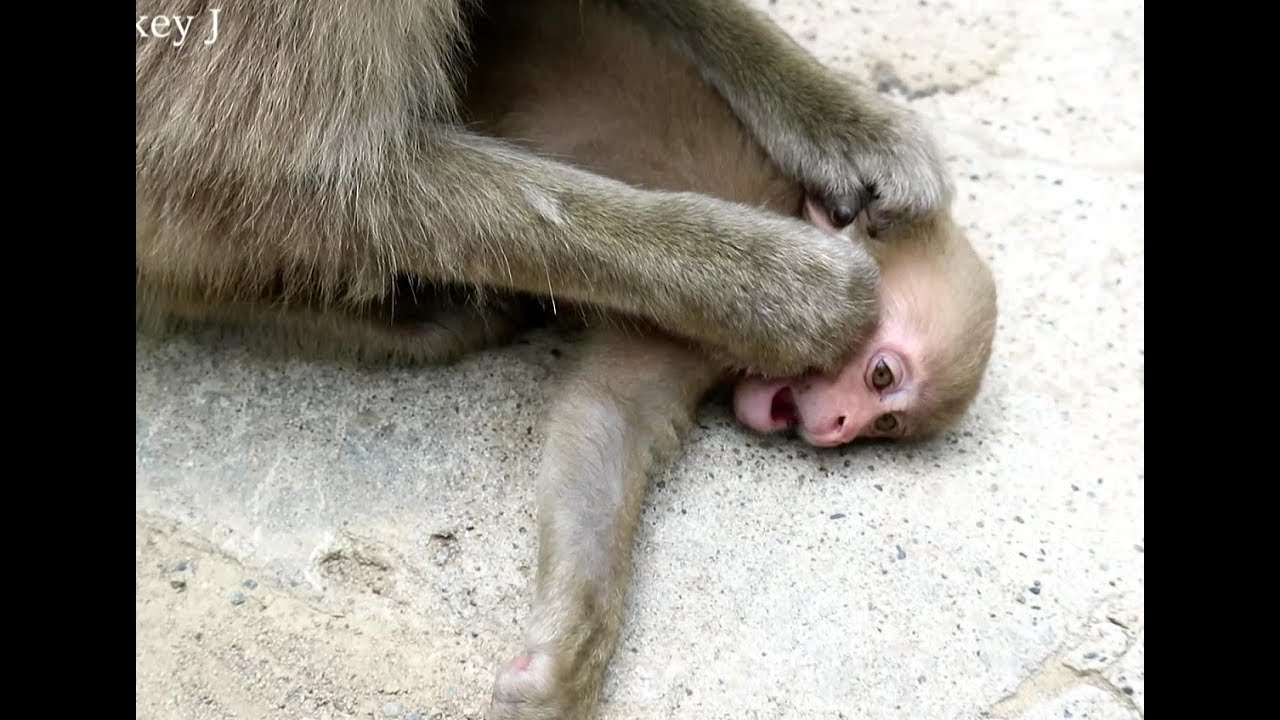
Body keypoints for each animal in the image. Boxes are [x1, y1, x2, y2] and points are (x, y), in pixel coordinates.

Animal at [455, 1, 996, 717]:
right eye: (881, 375)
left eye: (886, 426)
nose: (840, 428)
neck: (789, 208)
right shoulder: (715, 320)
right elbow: (609, 411)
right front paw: (566, 666)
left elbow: (612, 418)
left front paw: (560, 665)